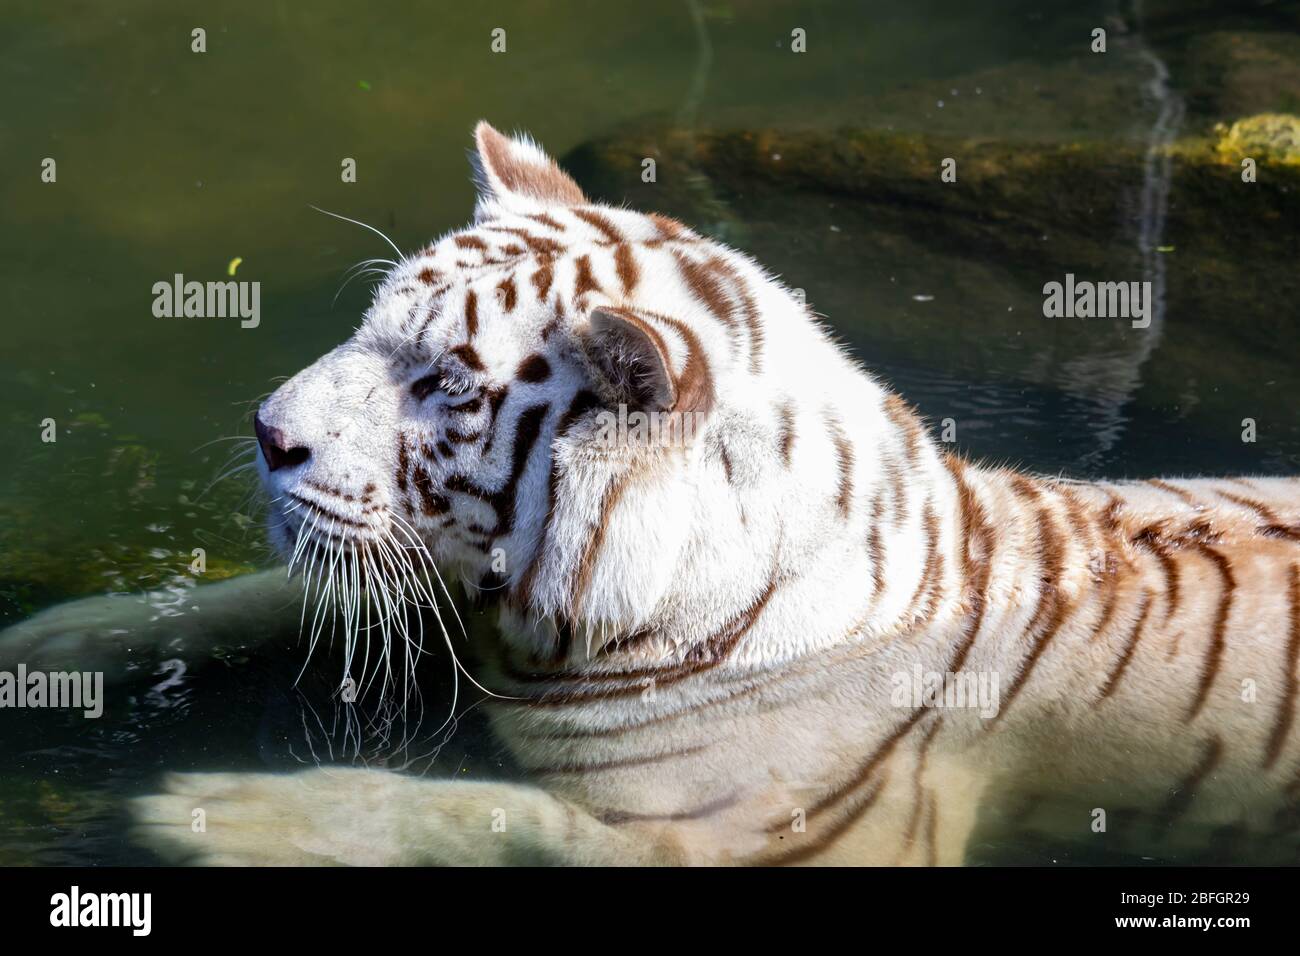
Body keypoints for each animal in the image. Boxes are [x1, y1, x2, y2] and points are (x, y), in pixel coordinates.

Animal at [5, 122, 1300, 866]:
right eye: (371, 328)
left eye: (442, 383)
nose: (267, 432)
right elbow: (258, 592)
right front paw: (54, 641)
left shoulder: (786, 847)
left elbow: (488, 817)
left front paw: (219, 814)